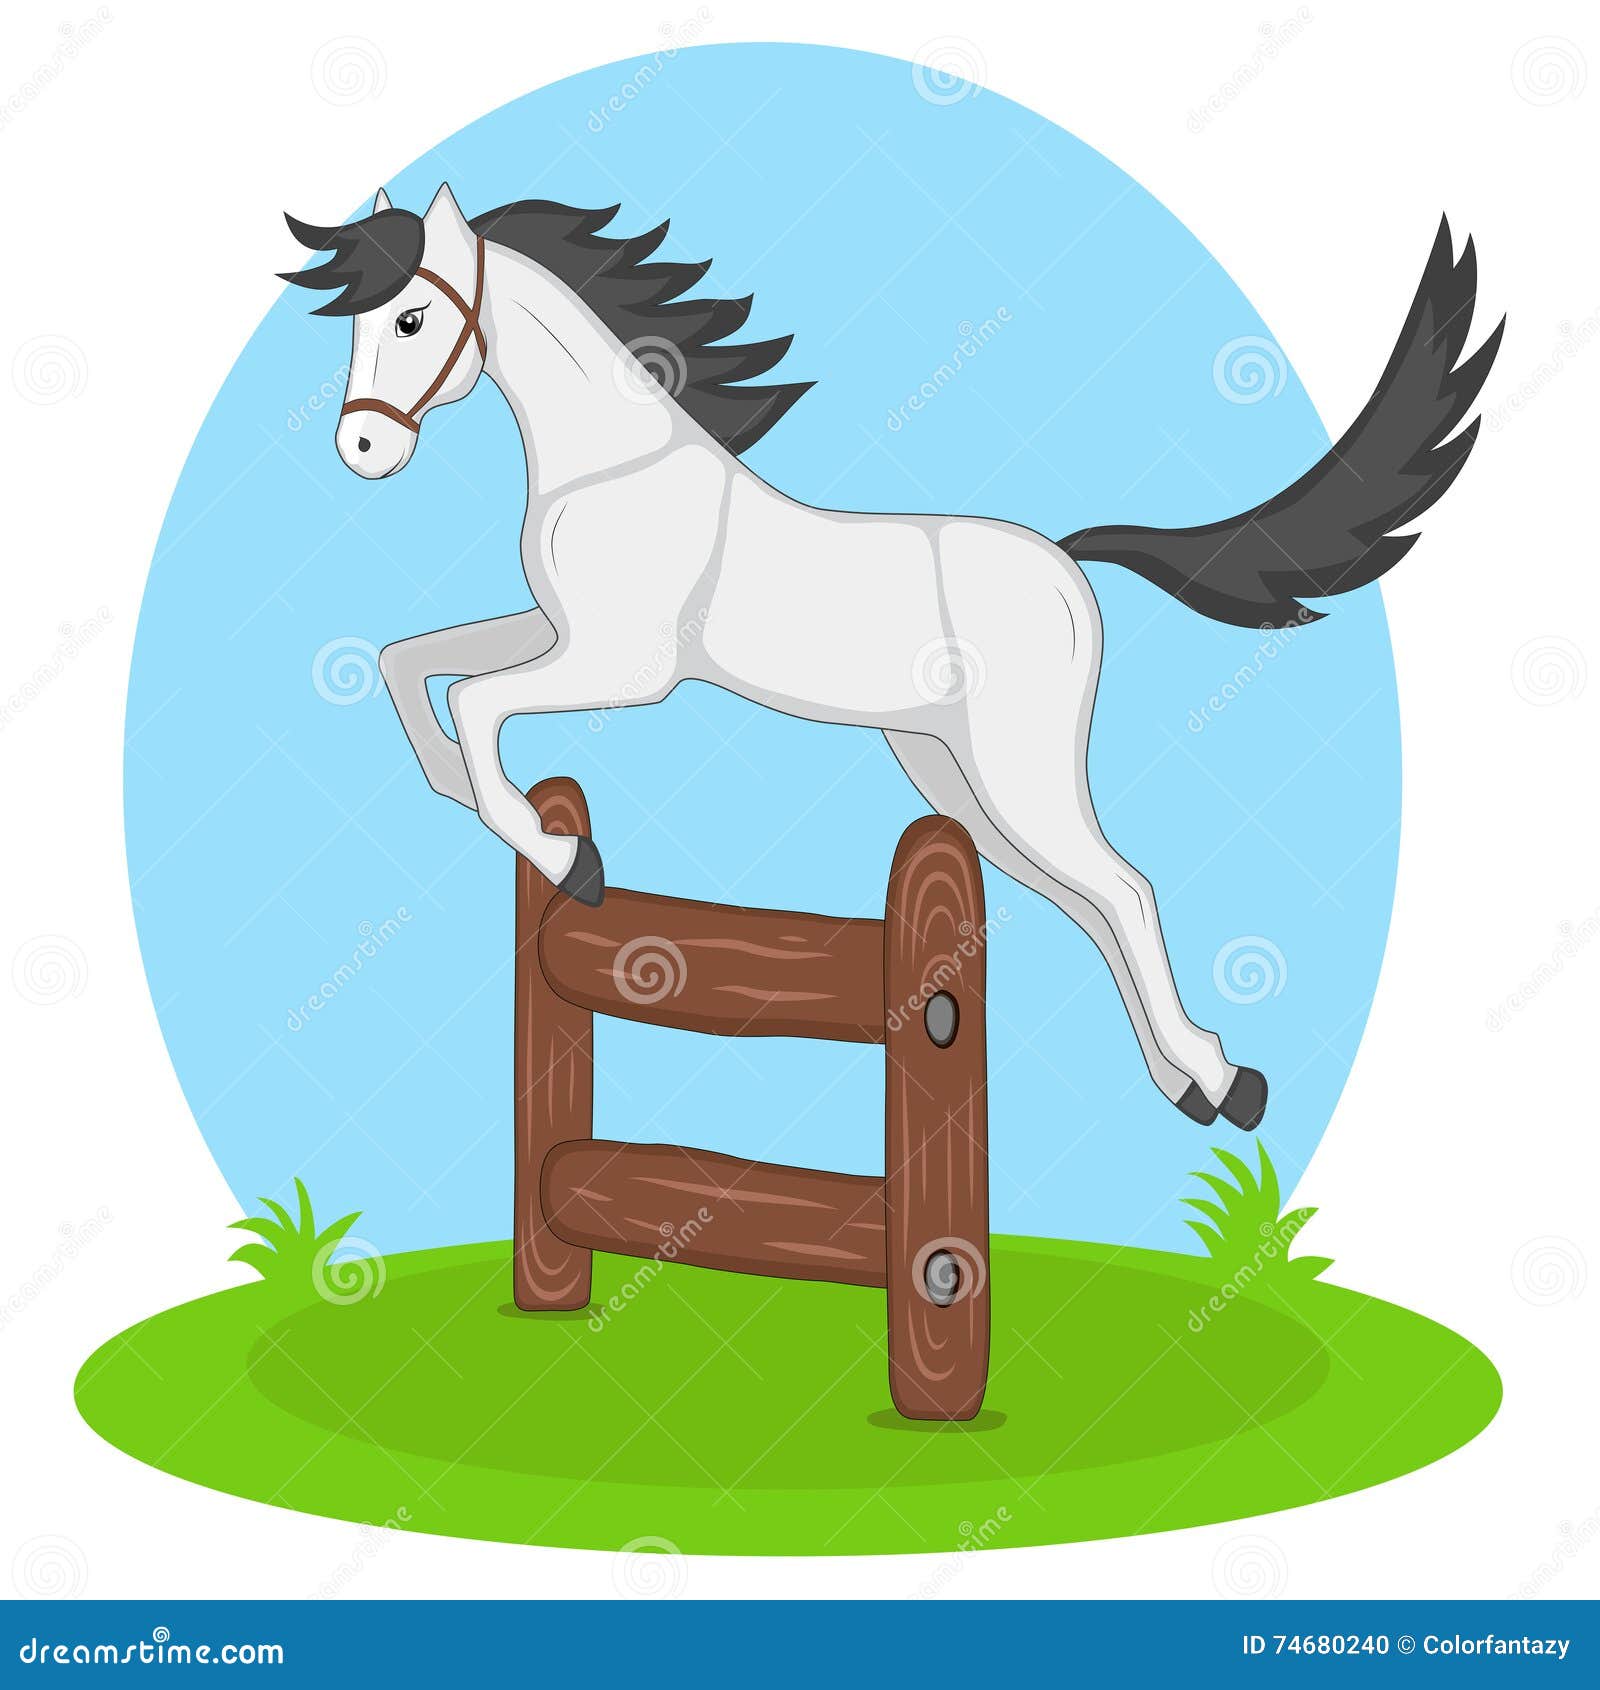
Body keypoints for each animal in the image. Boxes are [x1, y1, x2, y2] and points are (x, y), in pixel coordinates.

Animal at [282, 183, 1501, 1132]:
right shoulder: (561, 633)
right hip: (948, 771)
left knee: (1125, 887)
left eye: (408, 317)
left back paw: (1224, 1083)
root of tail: (1066, 560)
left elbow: (478, 704)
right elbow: (410, 665)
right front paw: (507, 815)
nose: (361, 447)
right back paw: (1193, 1084)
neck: (615, 465)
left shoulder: (624, 667)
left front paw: (563, 857)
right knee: (1083, 903)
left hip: (1018, 767)